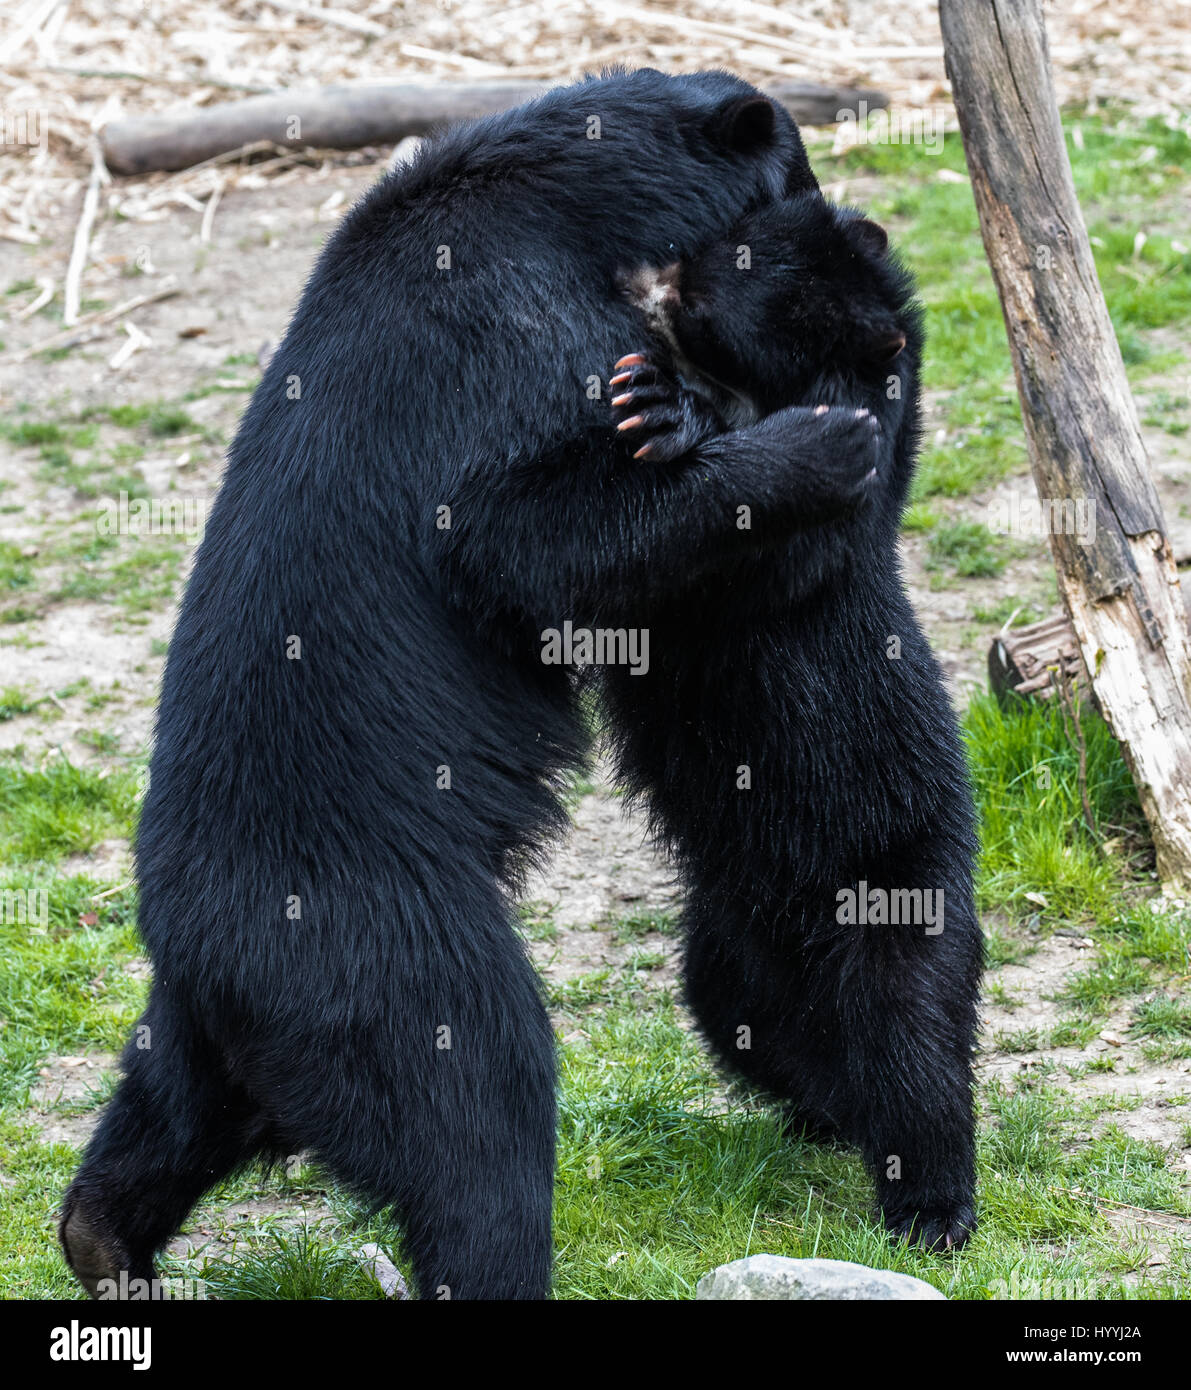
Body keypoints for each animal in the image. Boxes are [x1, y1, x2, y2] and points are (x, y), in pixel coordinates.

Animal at [59, 70, 891, 1301]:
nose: (851, 210)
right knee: (478, 1116)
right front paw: (813, 442)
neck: (575, 206)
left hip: (218, 1020)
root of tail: (200, 947)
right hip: (386, 951)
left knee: (167, 1111)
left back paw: (103, 1239)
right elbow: (533, 532)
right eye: (798, 174)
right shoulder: (514, 329)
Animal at [600, 190, 983, 1250]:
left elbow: (763, 555)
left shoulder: (828, 524)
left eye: (726, 267)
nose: (645, 273)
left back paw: (929, 1205)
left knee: (910, 1040)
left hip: (897, 897)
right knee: (753, 1028)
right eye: (730, 233)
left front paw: (663, 406)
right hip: (719, 943)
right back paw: (824, 1108)